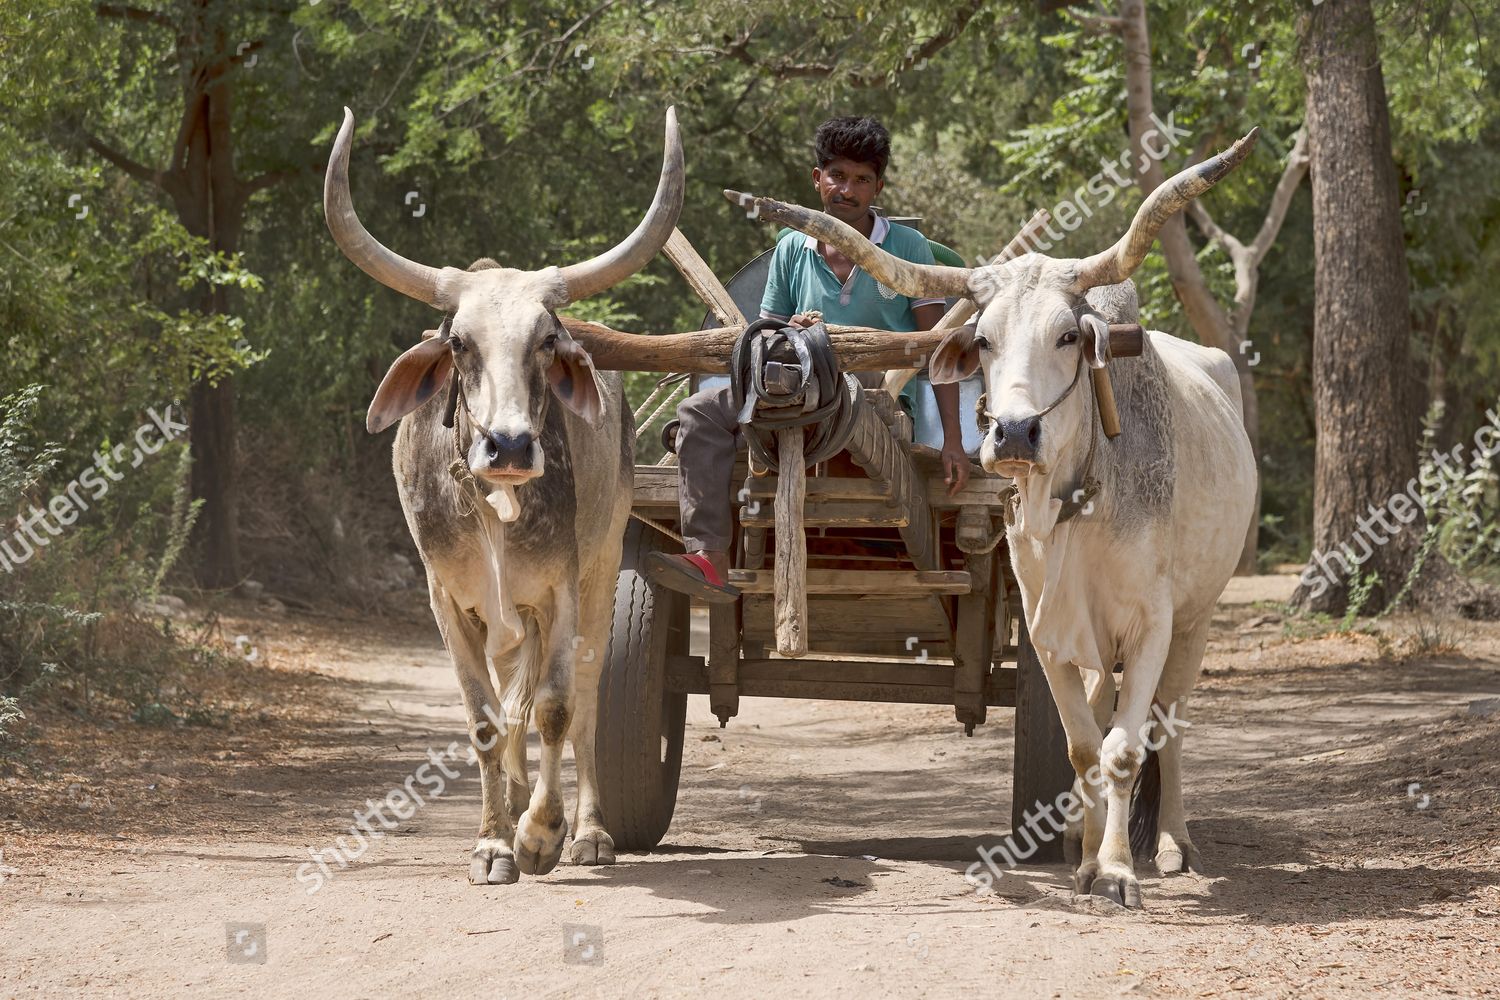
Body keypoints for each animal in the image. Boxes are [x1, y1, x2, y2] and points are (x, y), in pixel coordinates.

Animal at [323, 106, 683, 884]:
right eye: (458, 342)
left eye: (547, 340)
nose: (511, 446)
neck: (495, 508)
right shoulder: (446, 599)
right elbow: (487, 719)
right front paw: (493, 842)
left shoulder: (562, 590)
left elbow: (555, 706)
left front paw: (542, 835)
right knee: (510, 695)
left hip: (606, 564)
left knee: (584, 695)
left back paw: (588, 831)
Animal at [724, 131, 1259, 908]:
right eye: (983, 341)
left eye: (1068, 336)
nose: (1012, 432)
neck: (1074, 501)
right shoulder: (1046, 624)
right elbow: (1083, 744)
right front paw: (1091, 861)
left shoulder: (1152, 621)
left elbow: (1126, 749)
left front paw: (1119, 869)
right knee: (1104, 714)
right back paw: (1081, 838)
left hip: (1198, 616)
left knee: (1170, 723)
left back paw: (1171, 843)